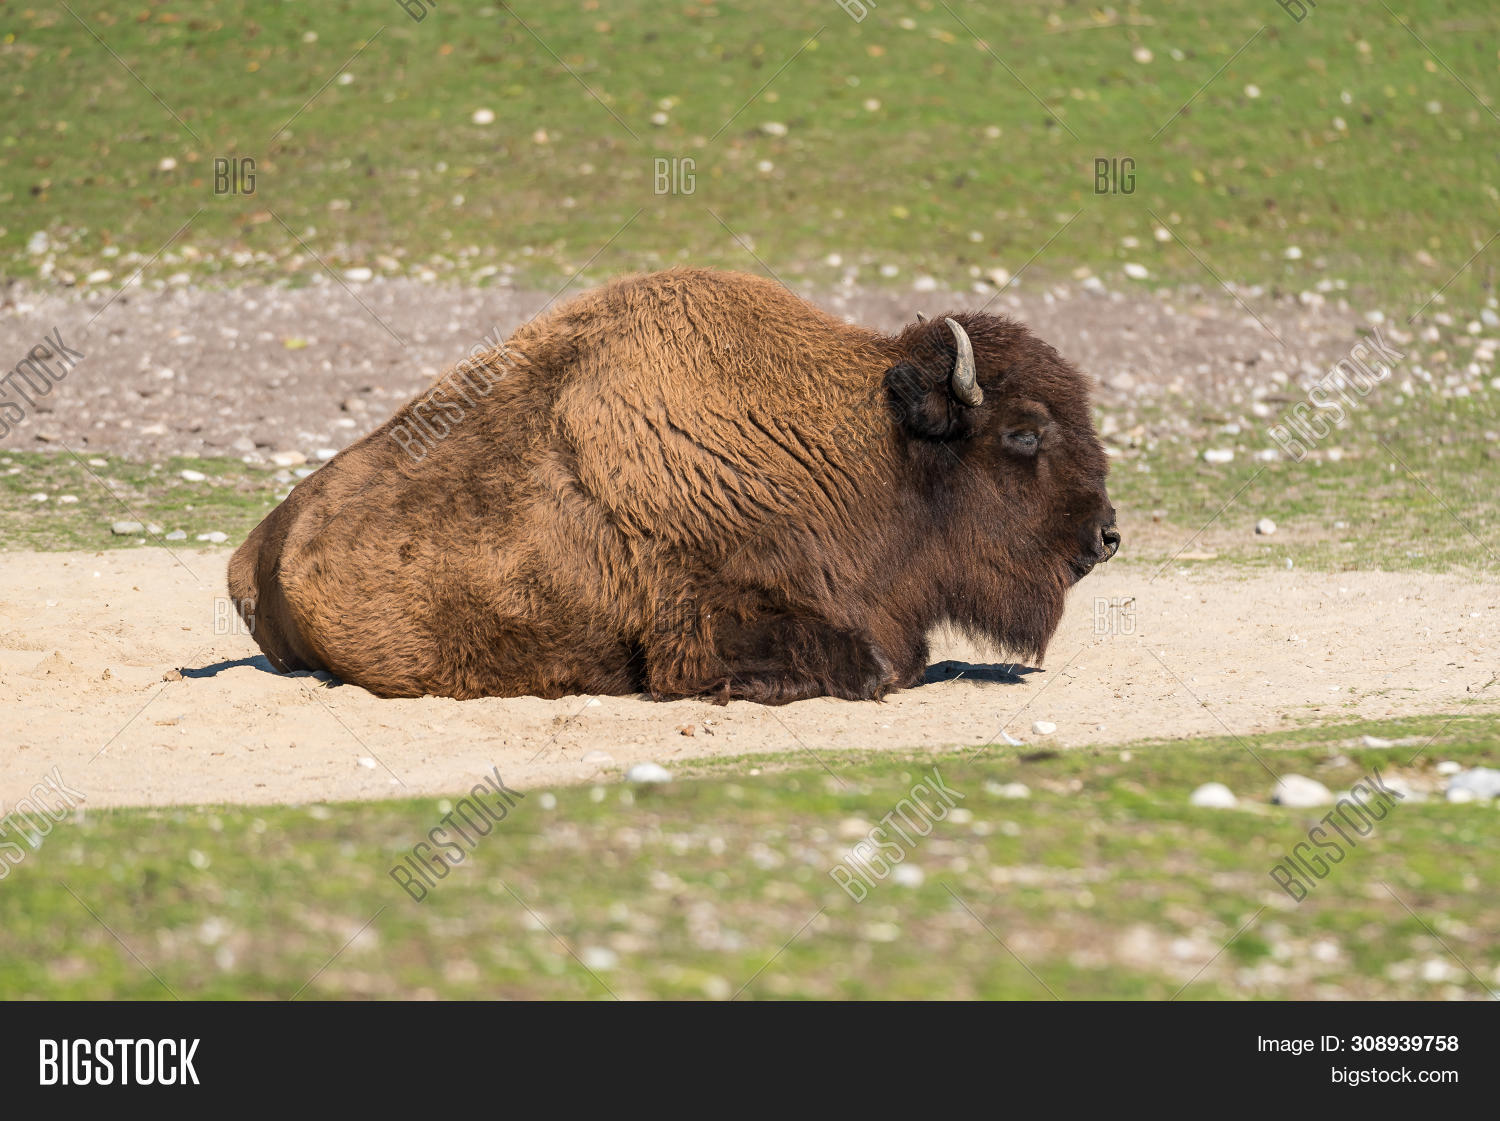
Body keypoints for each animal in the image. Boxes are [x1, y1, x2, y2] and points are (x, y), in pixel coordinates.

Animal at [229, 268, 1118, 704]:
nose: (1107, 534)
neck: (868, 446)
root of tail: (257, 547)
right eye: (1026, 432)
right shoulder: (705, 615)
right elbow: (868, 668)